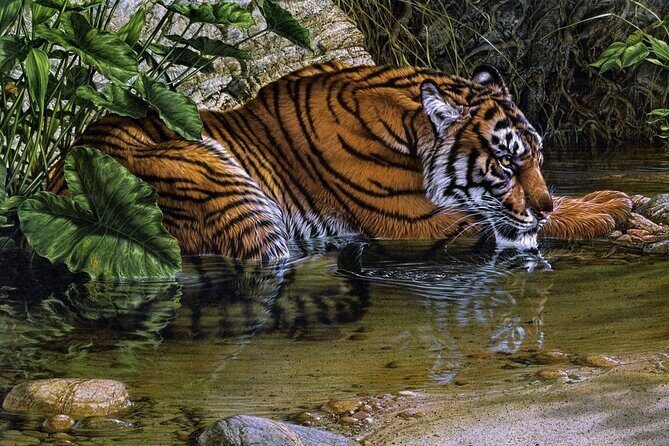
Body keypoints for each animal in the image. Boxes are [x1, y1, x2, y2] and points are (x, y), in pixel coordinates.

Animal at [50, 62, 632, 259]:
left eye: (539, 159)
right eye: (508, 165)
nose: (543, 203)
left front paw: (612, 197)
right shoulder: (421, 224)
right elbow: (520, 225)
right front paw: (606, 210)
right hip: (228, 193)